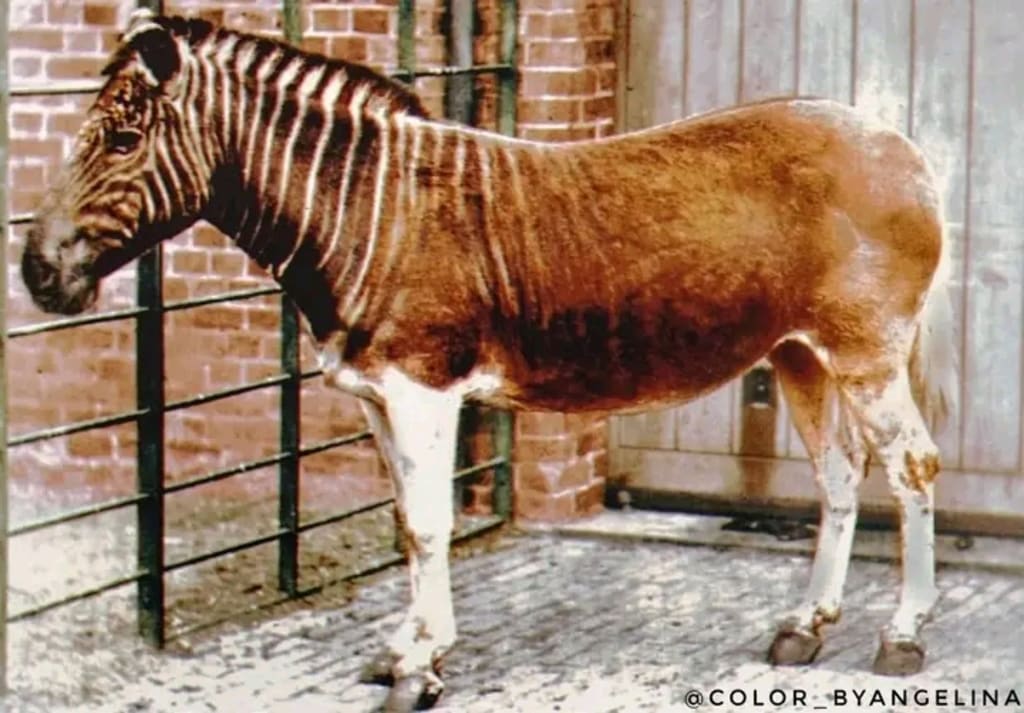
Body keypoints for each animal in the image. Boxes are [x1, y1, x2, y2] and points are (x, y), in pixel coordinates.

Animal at [23, 9, 957, 712]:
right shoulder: (375, 394)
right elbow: (405, 521)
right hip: (801, 352)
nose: (35, 273)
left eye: (121, 139)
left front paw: (420, 670)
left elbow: (429, 524)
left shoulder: (423, 388)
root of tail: (903, 145)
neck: (365, 210)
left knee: (910, 466)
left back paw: (902, 635)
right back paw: (806, 626)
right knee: (839, 475)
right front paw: (403, 646)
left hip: (866, 349)